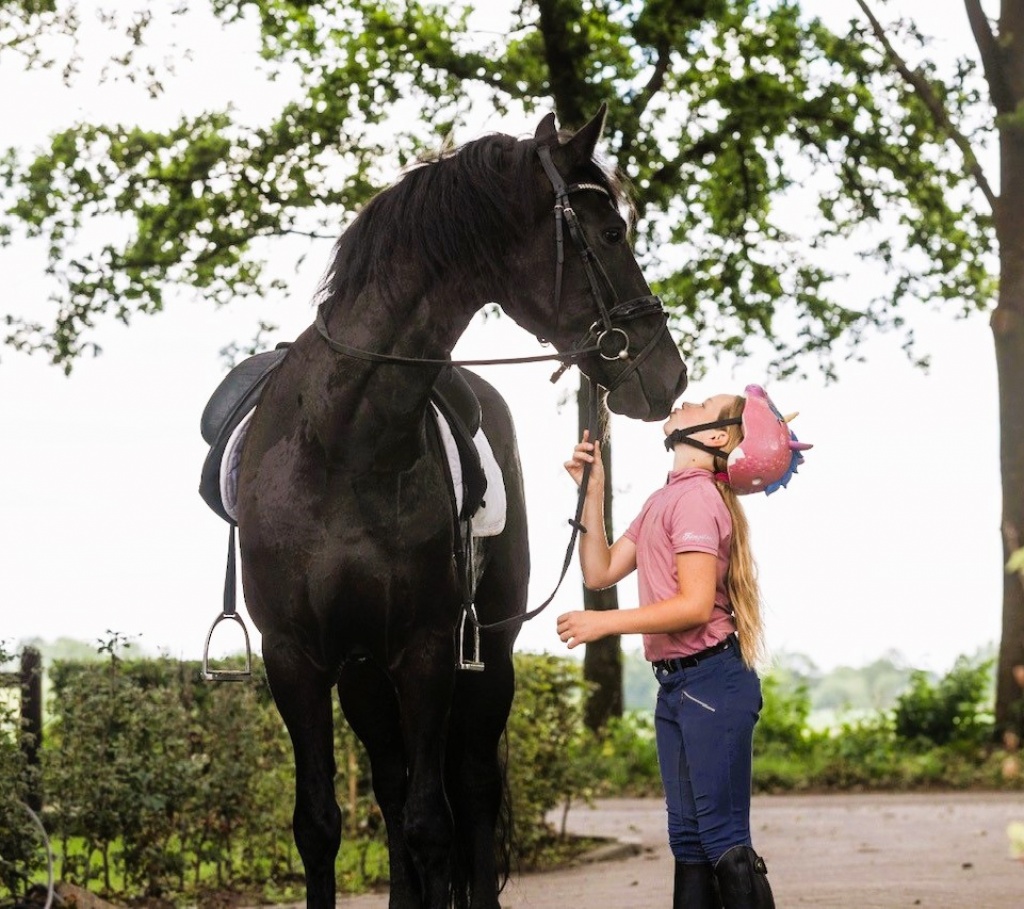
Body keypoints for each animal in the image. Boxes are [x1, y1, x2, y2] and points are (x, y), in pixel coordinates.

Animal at [234, 105, 689, 909]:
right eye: (609, 234)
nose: (668, 375)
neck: (343, 444)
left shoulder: (427, 650)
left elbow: (433, 823)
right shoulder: (295, 656)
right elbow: (321, 823)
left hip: (488, 658)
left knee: (470, 789)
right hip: (364, 674)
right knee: (390, 786)